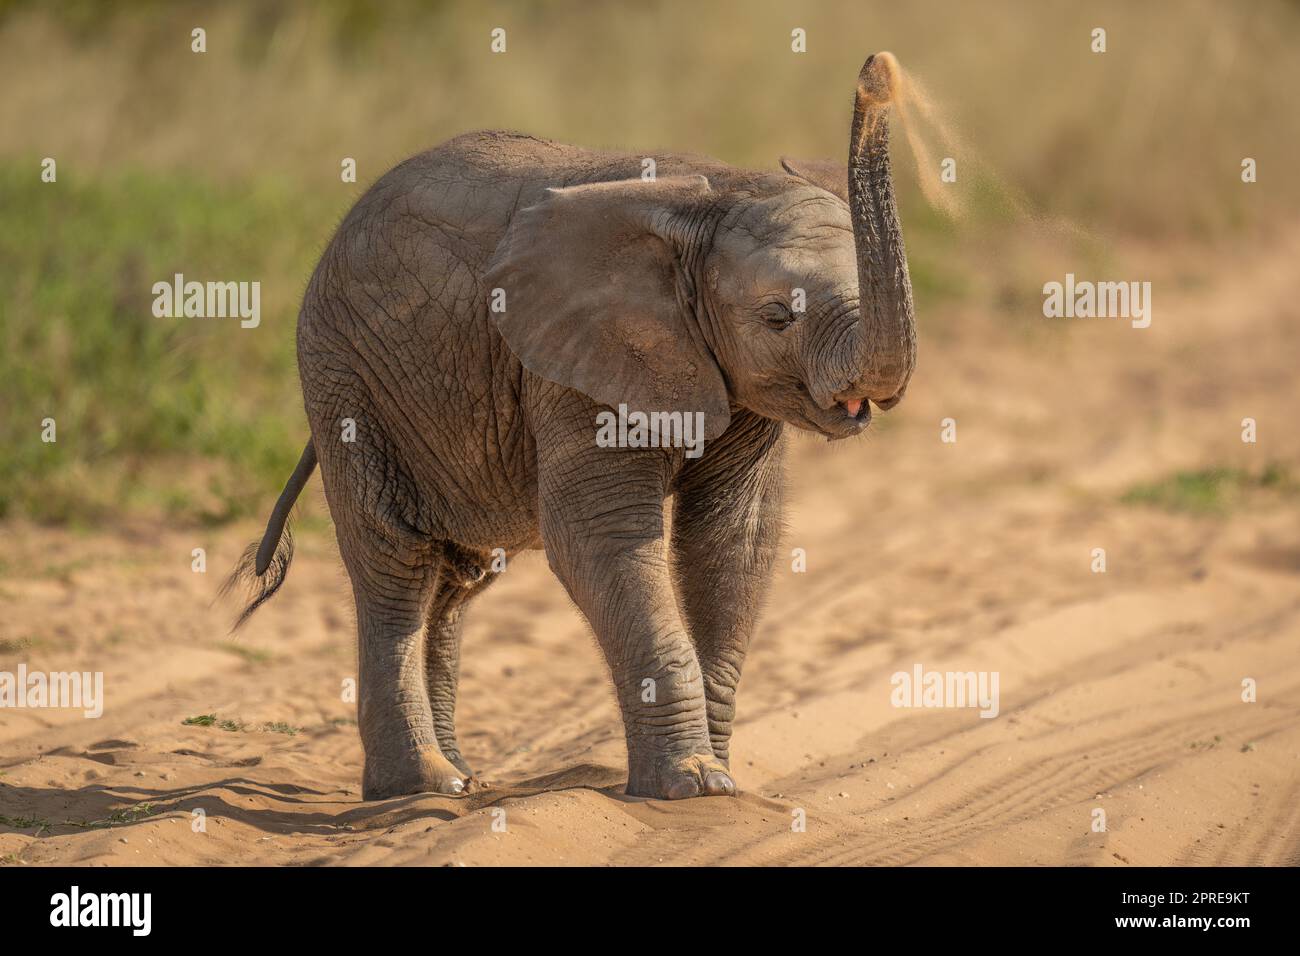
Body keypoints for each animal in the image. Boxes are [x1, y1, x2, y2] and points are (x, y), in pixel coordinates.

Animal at [224, 52, 916, 801]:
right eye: (777, 318)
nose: (877, 72)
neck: (719, 193)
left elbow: (733, 541)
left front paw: (719, 779)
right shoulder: (569, 364)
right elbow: (600, 535)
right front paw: (692, 785)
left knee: (457, 576)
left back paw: (462, 779)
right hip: (345, 375)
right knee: (396, 561)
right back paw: (422, 786)